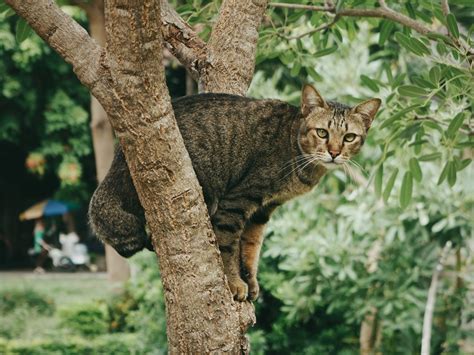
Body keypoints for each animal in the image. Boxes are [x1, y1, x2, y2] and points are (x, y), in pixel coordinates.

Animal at [88, 85, 382, 302]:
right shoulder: (238, 201)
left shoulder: (263, 211)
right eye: (322, 133)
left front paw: (250, 281)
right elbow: (229, 246)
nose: (334, 152)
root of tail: (119, 158)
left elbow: (251, 250)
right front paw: (234, 283)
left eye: (349, 137)